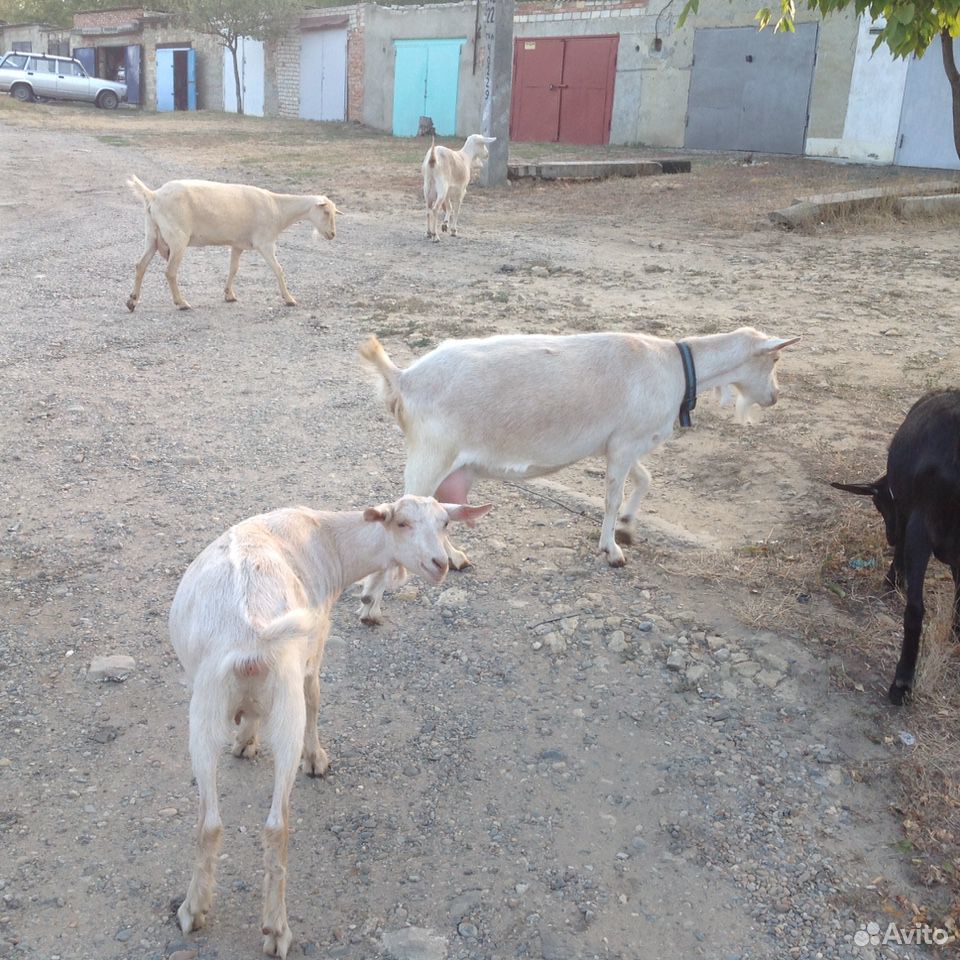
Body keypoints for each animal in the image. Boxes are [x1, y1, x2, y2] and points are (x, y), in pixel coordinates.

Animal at [125, 175, 338, 311]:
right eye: (326, 212)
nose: (332, 234)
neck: (278, 208)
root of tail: (153, 195)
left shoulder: (238, 244)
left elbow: (233, 269)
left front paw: (229, 295)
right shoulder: (265, 243)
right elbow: (278, 269)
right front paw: (289, 299)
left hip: (152, 235)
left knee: (140, 265)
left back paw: (132, 301)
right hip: (177, 238)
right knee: (170, 272)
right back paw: (182, 303)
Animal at [169, 495, 491, 957]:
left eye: (445, 523)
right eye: (403, 523)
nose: (440, 564)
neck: (328, 540)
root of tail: (253, 636)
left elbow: (252, 716)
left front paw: (246, 741)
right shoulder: (315, 647)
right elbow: (316, 698)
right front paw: (317, 759)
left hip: (206, 709)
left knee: (210, 823)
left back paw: (194, 909)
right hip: (285, 700)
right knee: (277, 826)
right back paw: (277, 929)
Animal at [356, 326, 799, 625]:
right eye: (775, 359)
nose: (775, 397)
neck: (675, 366)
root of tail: (402, 379)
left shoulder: (621, 443)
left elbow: (644, 480)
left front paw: (629, 525)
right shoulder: (625, 443)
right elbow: (612, 496)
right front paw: (612, 549)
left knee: (440, 509)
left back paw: (455, 558)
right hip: (430, 454)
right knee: (404, 512)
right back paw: (370, 605)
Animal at [832, 389, 960, 704]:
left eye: (878, 504)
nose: (888, 536)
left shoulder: (907, 517)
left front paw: (892, 580)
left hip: (920, 529)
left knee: (914, 610)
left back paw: (901, 682)